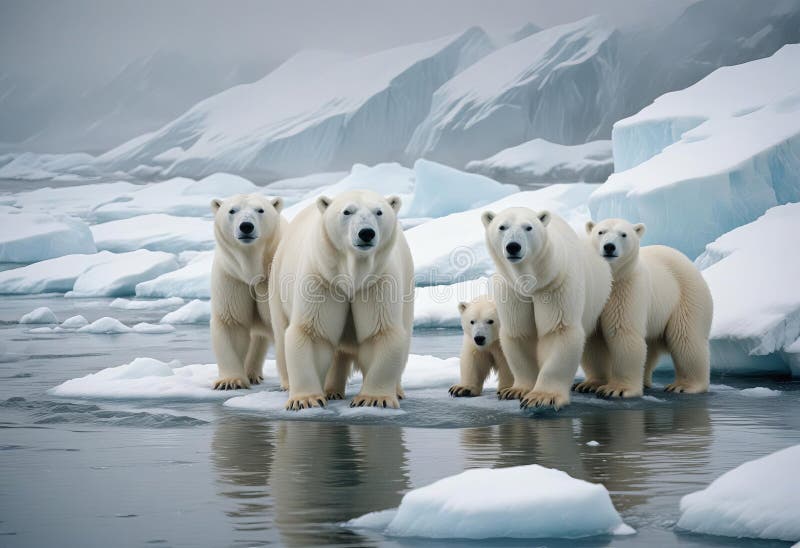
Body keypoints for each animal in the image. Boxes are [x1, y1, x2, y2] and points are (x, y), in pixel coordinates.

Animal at [210, 193, 286, 390]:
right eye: (232, 210)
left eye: (260, 209)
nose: (246, 226)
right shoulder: (232, 277)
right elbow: (232, 322)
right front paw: (229, 382)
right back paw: (251, 374)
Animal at [268, 190, 414, 410]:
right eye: (347, 211)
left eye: (379, 211)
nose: (366, 233)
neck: (352, 273)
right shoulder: (323, 279)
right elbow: (312, 332)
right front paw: (305, 400)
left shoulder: (377, 281)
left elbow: (380, 332)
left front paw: (373, 399)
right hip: (278, 285)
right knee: (282, 334)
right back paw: (310, 388)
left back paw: (395, 390)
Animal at [482, 207, 612, 410]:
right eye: (502, 227)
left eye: (528, 227)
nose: (513, 246)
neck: (533, 280)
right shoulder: (512, 290)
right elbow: (519, 331)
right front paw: (515, 390)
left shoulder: (556, 284)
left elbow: (558, 330)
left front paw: (541, 397)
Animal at [577, 218, 713, 397]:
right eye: (601, 232)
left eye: (623, 234)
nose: (609, 247)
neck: (613, 277)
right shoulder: (596, 293)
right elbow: (594, 339)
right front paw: (590, 384)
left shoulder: (626, 288)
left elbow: (623, 332)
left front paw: (617, 389)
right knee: (652, 345)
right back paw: (645, 381)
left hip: (687, 295)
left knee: (685, 338)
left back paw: (684, 386)